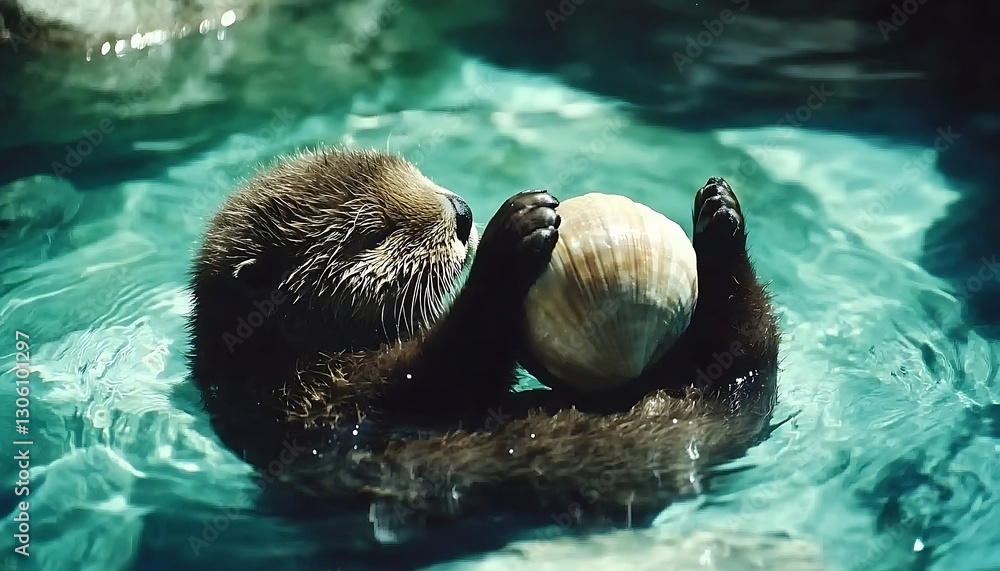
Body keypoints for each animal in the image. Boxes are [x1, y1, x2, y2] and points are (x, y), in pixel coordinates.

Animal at [187, 147, 779, 540]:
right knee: (747, 340)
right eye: (369, 234)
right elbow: (449, 368)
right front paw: (516, 229)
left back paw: (719, 215)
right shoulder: (322, 399)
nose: (463, 211)